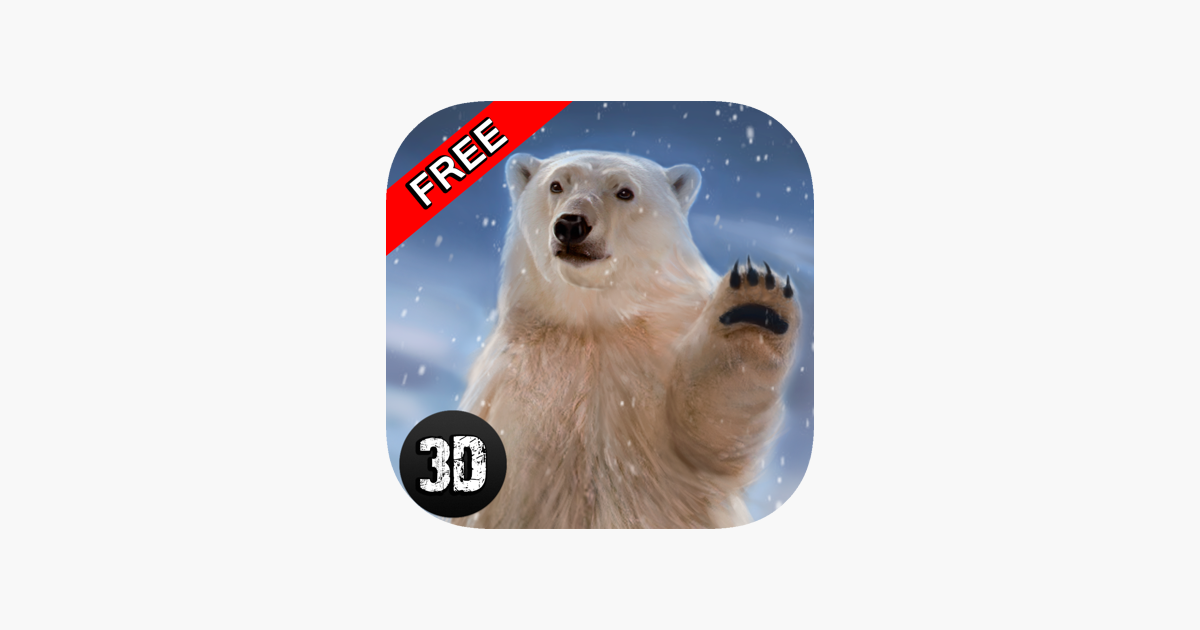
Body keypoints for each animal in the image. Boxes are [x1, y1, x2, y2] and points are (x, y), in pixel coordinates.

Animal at [452, 150, 800, 528]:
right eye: (556, 185)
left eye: (624, 192)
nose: (571, 224)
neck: (594, 323)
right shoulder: (518, 376)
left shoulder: (657, 357)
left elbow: (705, 436)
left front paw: (755, 304)